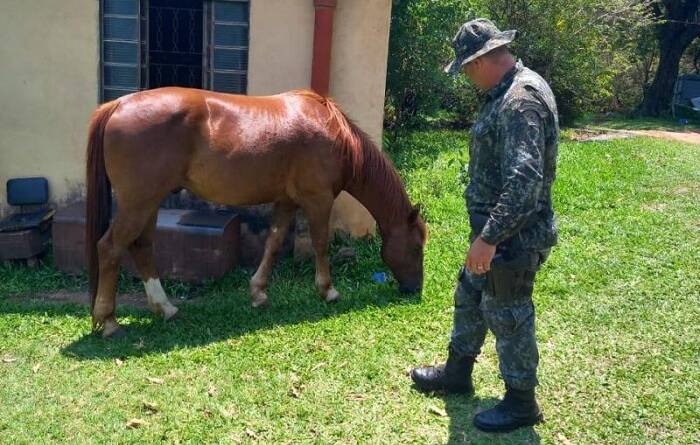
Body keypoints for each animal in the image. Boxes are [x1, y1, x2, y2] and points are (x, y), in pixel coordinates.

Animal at [85, 87, 427, 337]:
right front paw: (328, 290)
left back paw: (165, 308)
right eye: (416, 247)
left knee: (141, 247)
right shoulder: (318, 200)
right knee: (110, 247)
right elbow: (320, 244)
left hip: (149, 203)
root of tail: (117, 104)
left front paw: (259, 293)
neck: (332, 131)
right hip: (138, 203)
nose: (414, 289)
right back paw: (109, 321)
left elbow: (273, 243)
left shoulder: (287, 201)